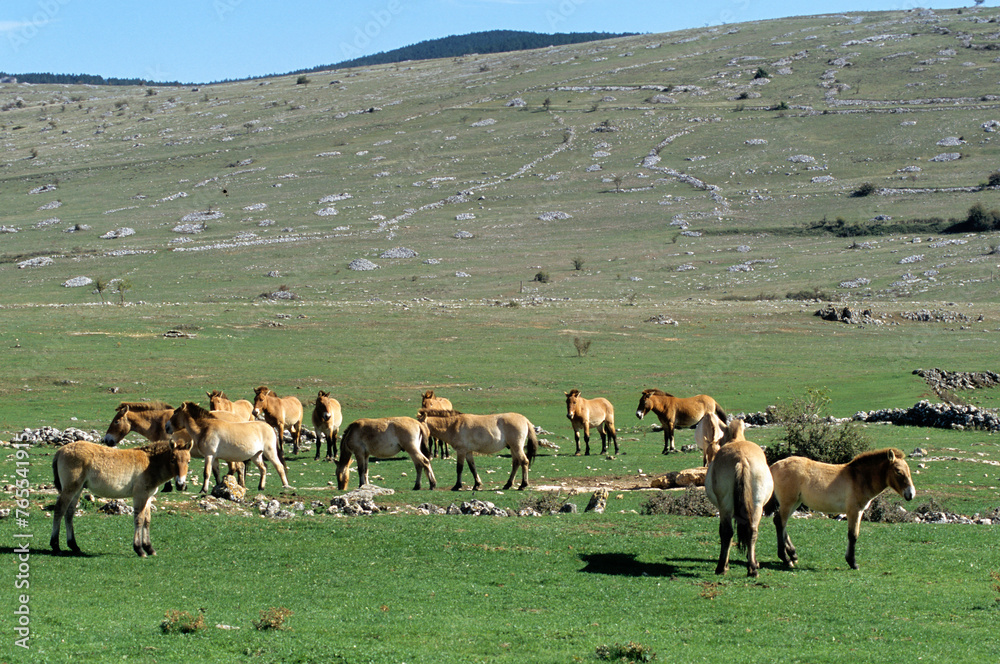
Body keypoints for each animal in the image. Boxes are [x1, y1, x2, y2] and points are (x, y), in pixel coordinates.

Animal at [50, 440, 190, 557]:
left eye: (188, 461)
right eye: (172, 460)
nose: (180, 484)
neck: (150, 463)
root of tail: (60, 450)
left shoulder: (148, 496)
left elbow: (147, 520)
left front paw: (149, 548)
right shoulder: (140, 495)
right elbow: (139, 520)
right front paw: (139, 549)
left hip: (78, 489)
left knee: (69, 513)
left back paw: (73, 545)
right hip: (70, 488)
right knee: (59, 510)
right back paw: (55, 546)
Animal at [704, 433, 773, 577]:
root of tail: (741, 460)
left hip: (725, 507)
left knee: (727, 532)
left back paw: (721, 567)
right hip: (757, 506)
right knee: (752, 531)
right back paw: (752, 569)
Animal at [766, 448, 916, 570]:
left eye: (908, 471)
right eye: (898, 472)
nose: (911, 494)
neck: (859, 478)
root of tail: (773, 466)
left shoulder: (859, 512)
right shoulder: (854, 511)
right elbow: (853, 535)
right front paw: (852, 563)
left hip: (795, 502)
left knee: (781, 523)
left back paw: (793, 555)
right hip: (788, 502)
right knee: (780, 523)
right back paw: (786, 559)